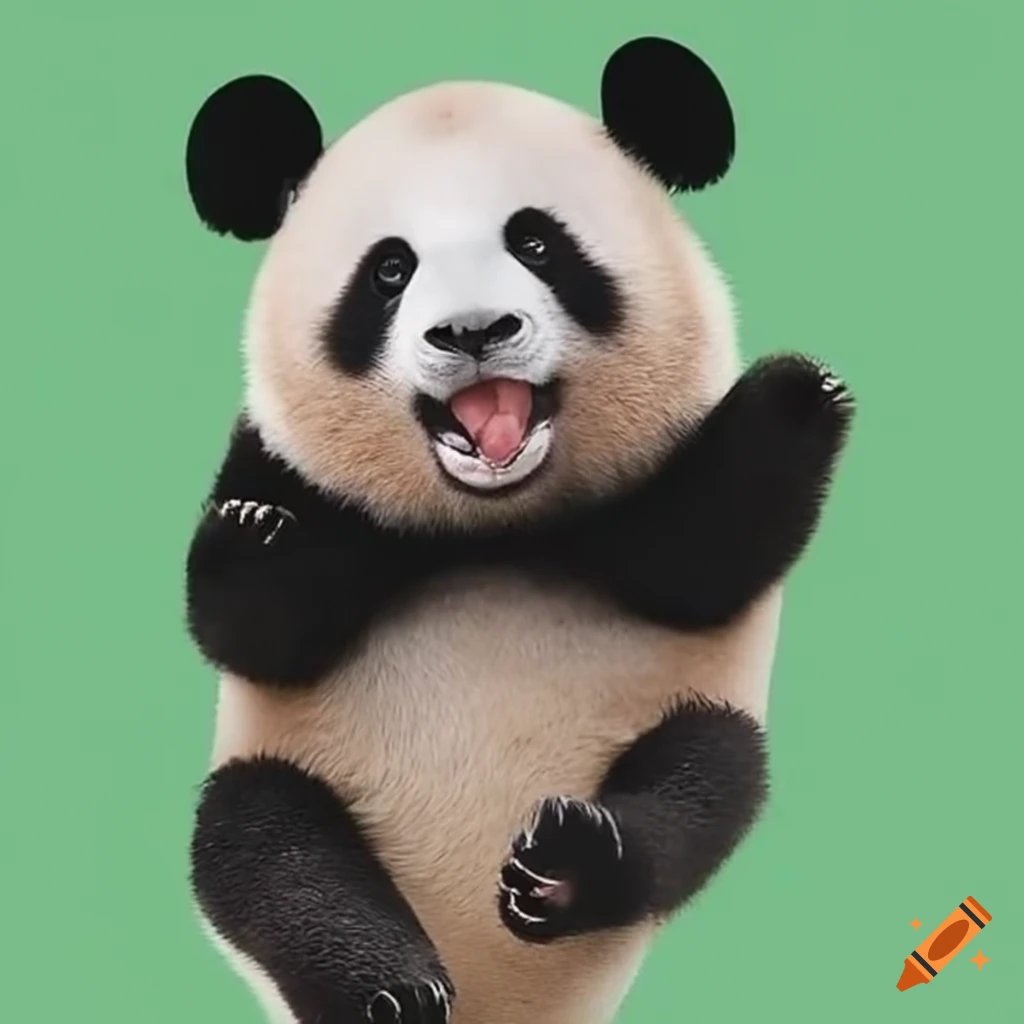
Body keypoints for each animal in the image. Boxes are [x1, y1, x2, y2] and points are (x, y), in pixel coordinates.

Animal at [182, 35, 854, 1024]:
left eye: (537, 242)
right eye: (389, 270)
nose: (473, 332)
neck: (487, 522)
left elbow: (701, 559)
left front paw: (800, 395)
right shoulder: (282, 457)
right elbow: (248, 635)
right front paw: (253, 536)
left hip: (682, 723)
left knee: (699, 786)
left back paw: (567, 870)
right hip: (288, 778)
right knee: (266, 852)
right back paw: (388, 987)